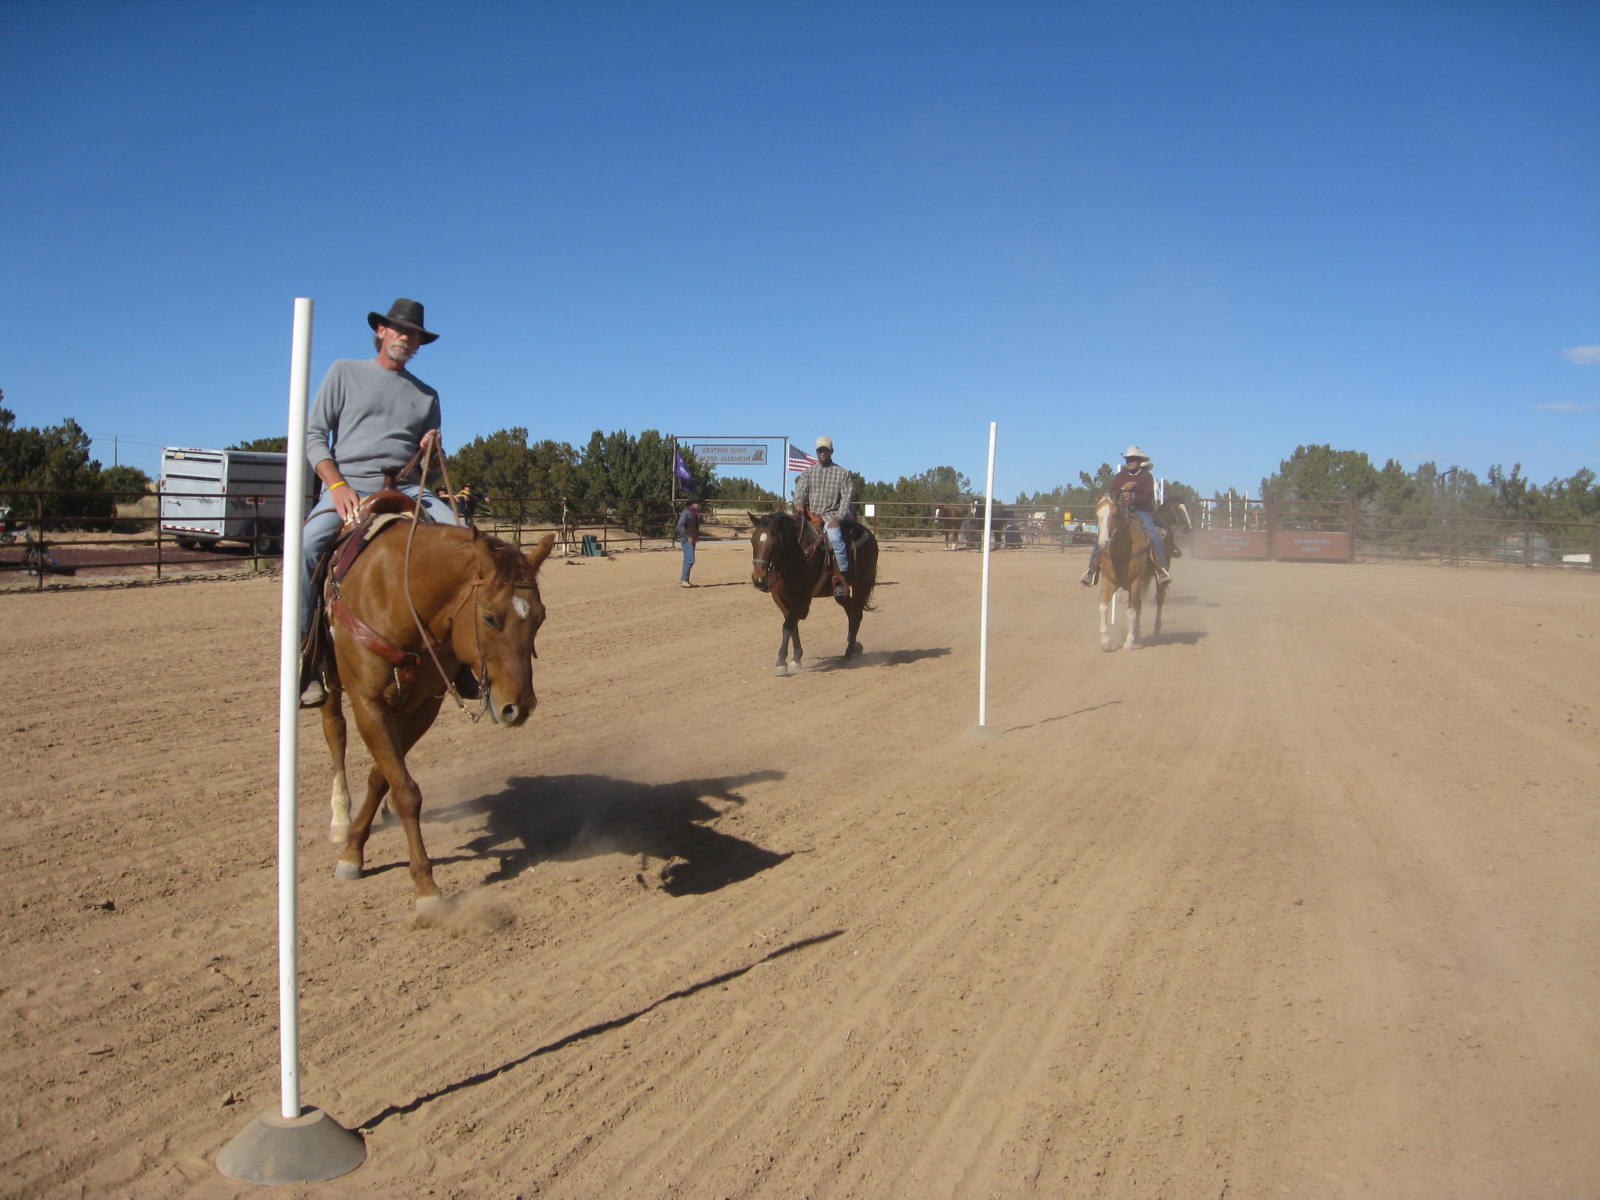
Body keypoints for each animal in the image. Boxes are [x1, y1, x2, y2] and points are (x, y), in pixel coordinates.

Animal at [318, 515, 556, 914]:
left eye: (540, 617)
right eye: (489, 618)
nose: (519, 706)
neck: (397, 594)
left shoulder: (424, 707)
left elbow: (383, 777)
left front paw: (358, 843)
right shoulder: (368, 702)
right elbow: (406, 791)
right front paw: (424, 887)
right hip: (328, 683)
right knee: (334, 731)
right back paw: (338, 817)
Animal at [748, 512, 878, 676]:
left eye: (775, 544)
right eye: (752, 541)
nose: (758, 579)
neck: (797, 554)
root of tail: (869, 534)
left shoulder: (803, 597)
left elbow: (788, 625)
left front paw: (781, 662)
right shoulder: (778, 597)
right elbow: (792, 625)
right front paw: (796, 658)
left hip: (862, 584)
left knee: (856, 615)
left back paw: (848, 653)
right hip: (841, 595)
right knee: (852, 613)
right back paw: (855, 646)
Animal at [1092, 492, 1168, 650]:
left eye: (1115, 514)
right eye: (1097, 514)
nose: (1103, 542)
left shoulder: (1134, 582)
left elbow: (1131, 612)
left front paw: (1129, 641)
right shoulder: (1108, 580)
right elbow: (1103, 607)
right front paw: (1105, 640)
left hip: (1158, 578)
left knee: (1159, 600)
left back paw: (1156, 630)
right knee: (1139, 603)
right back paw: (1138, 633)